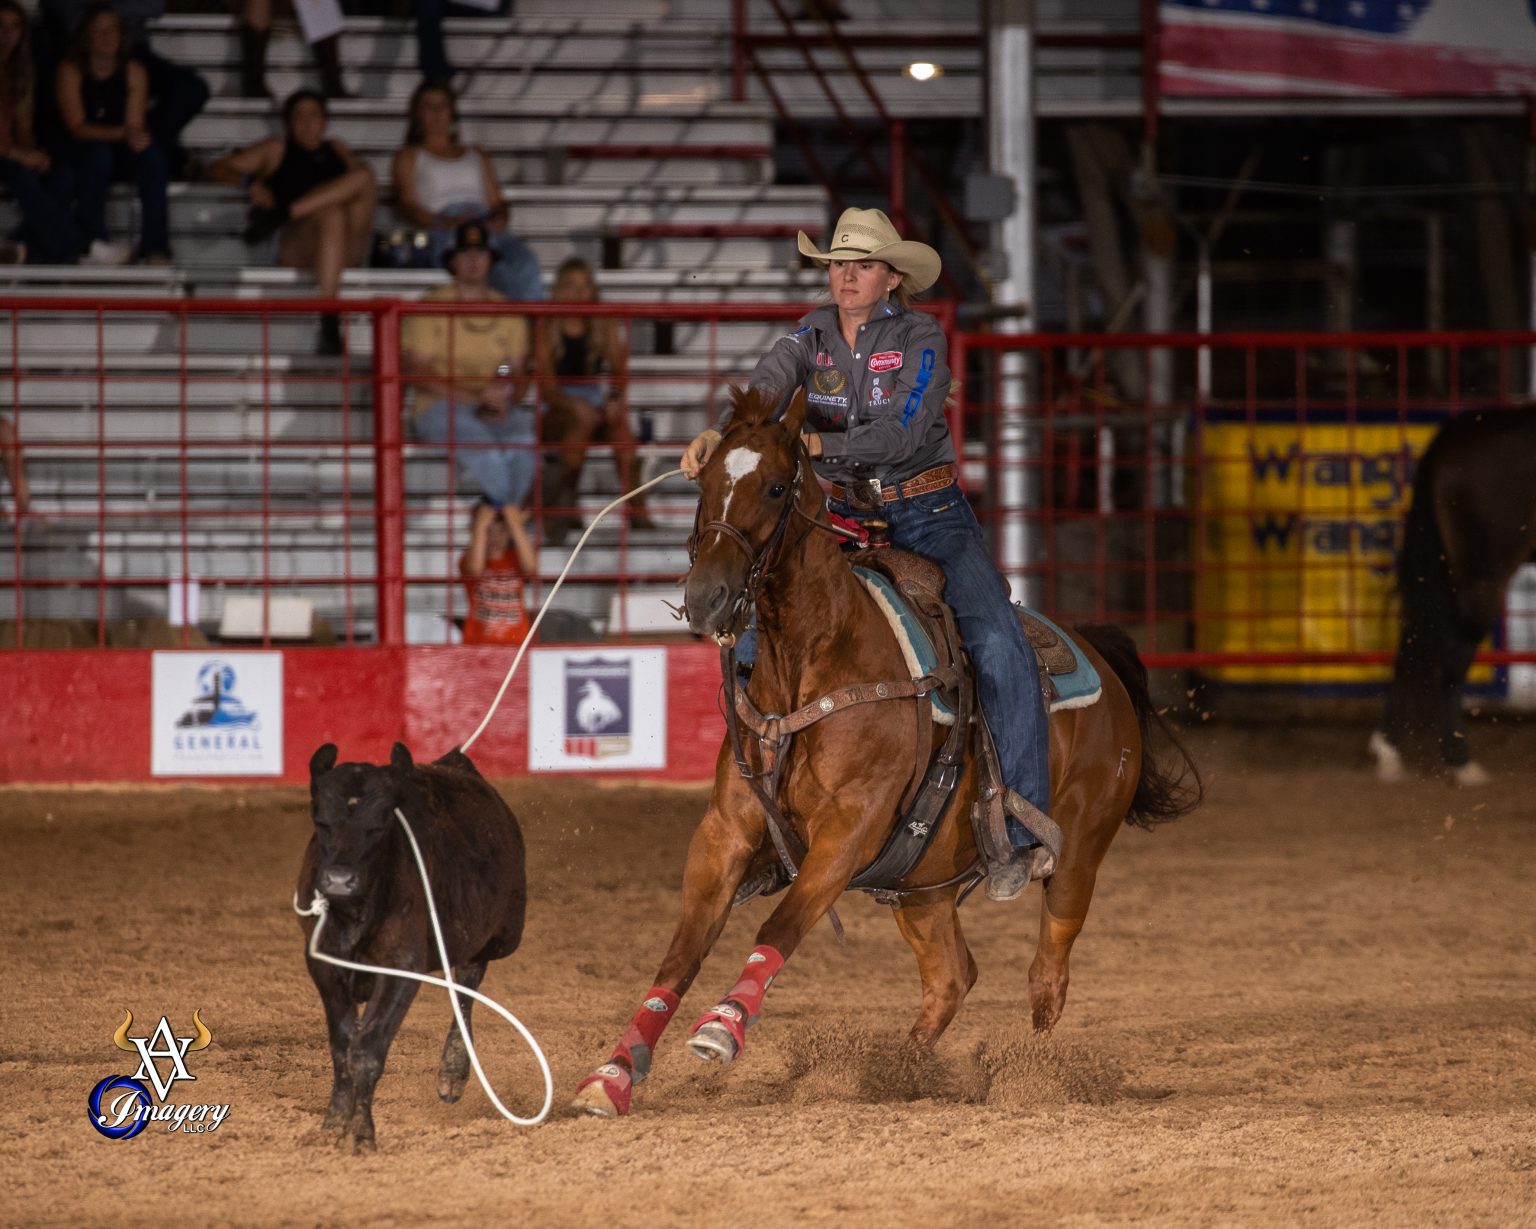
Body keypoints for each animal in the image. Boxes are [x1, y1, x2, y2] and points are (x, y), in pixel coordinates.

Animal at [570, 387, 1200, 1118]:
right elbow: (678, 955)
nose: (706, 597)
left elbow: (779, 927)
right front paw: (613, 1074)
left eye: (777, 485)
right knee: (953, 976)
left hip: (1078, 856)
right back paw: (897, 1070)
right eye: (705, 484)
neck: (813, 663)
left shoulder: (849, 830)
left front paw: (721, 1028)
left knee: (1048, 974)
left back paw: (1033, 1073)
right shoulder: (725, 832)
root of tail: (1100, 654)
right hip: (923, 881)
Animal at [1370, 408, 1536, 785]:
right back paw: (1460, 760)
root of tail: (1453, 435)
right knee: (1452, 658)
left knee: (1415, 643)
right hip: (1482, 576)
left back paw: (1388, 750)